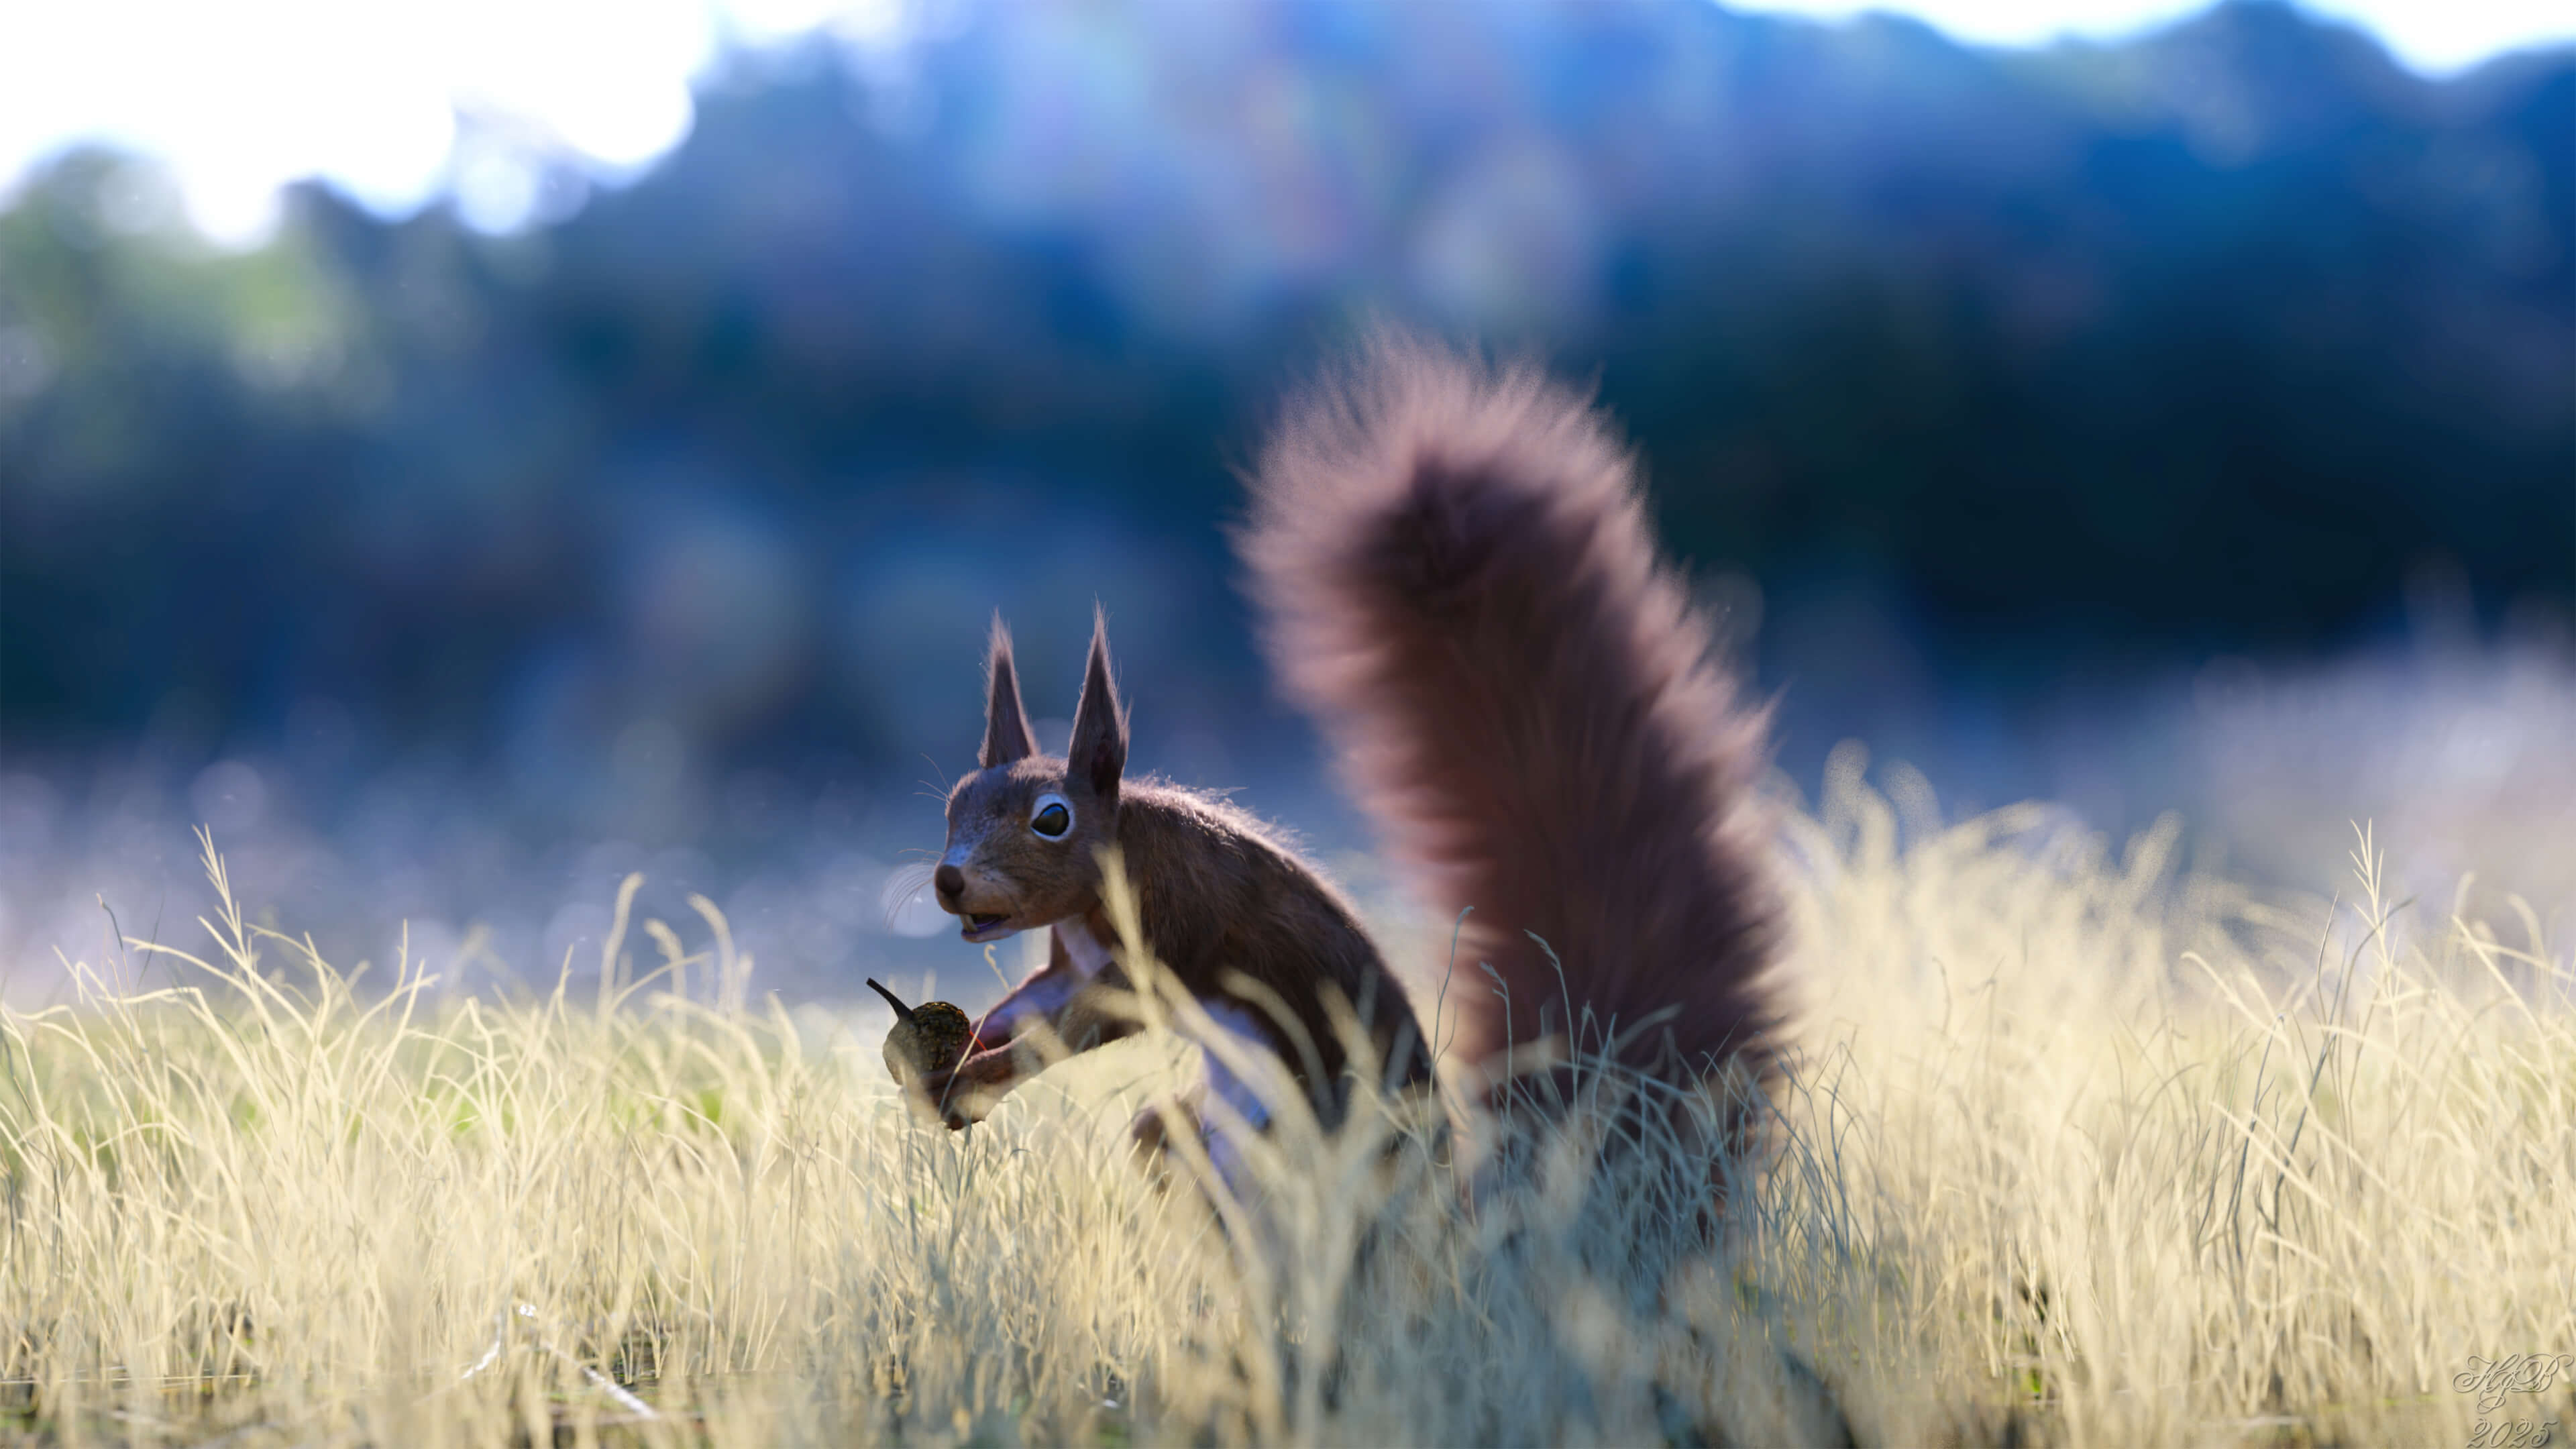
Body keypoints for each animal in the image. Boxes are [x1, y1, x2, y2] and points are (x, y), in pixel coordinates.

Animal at [914, 332, 1783, 1183]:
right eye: (954, 803)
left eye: (1052, 820)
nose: (949, 880)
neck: (1113, 865)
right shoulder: (1070, 961)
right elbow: (1034, 1001)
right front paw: (968, 1039)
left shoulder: (1165, 931)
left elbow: (1085, 1021)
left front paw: (974, 1077)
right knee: (1164, 1137)